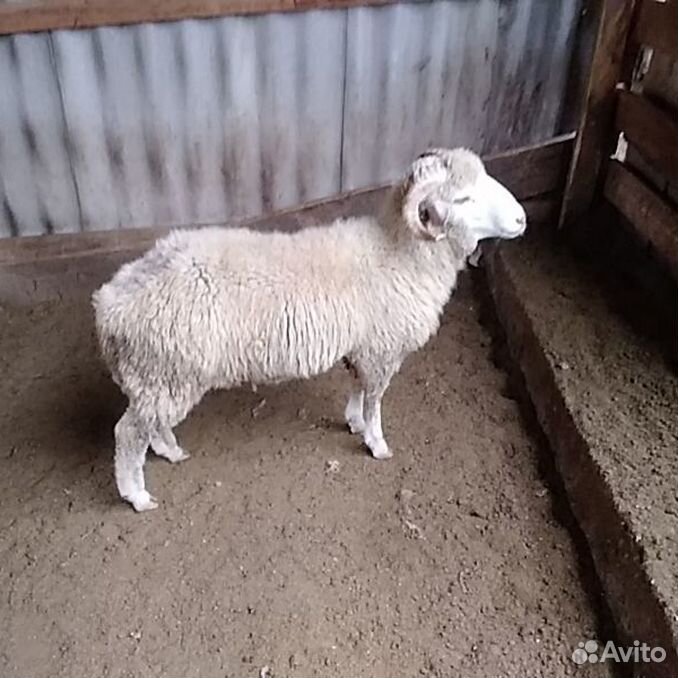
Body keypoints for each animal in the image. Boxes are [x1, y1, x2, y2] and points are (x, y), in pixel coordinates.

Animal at [92, 147, 527, 512]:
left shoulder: (363, 347)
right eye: (463, 199)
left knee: (151, 425)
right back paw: (137, 495)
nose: (522, 218)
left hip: (161, 378)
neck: (397, 252)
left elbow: (358, 388)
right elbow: (375, 399)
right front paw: (377, 443)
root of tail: (109, 304)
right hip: (167, 371)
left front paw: (354, 422)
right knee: (127, 434)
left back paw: (169, 451)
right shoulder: (382, 349)